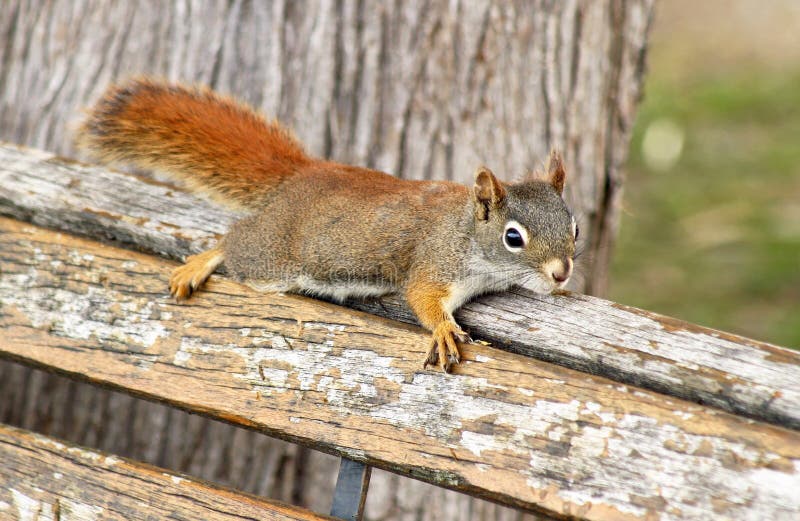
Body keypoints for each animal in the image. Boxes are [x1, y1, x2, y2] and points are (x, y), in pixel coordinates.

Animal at [76, 78, 577, 372]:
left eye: (574, 229)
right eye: (513, 237)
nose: (561, 273)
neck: (468, 234)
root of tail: (301, 176)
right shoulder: (434, 261)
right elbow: (422, 298)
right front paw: (442, 330)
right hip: (270, 259)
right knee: (234, 241)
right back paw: (200, 262)